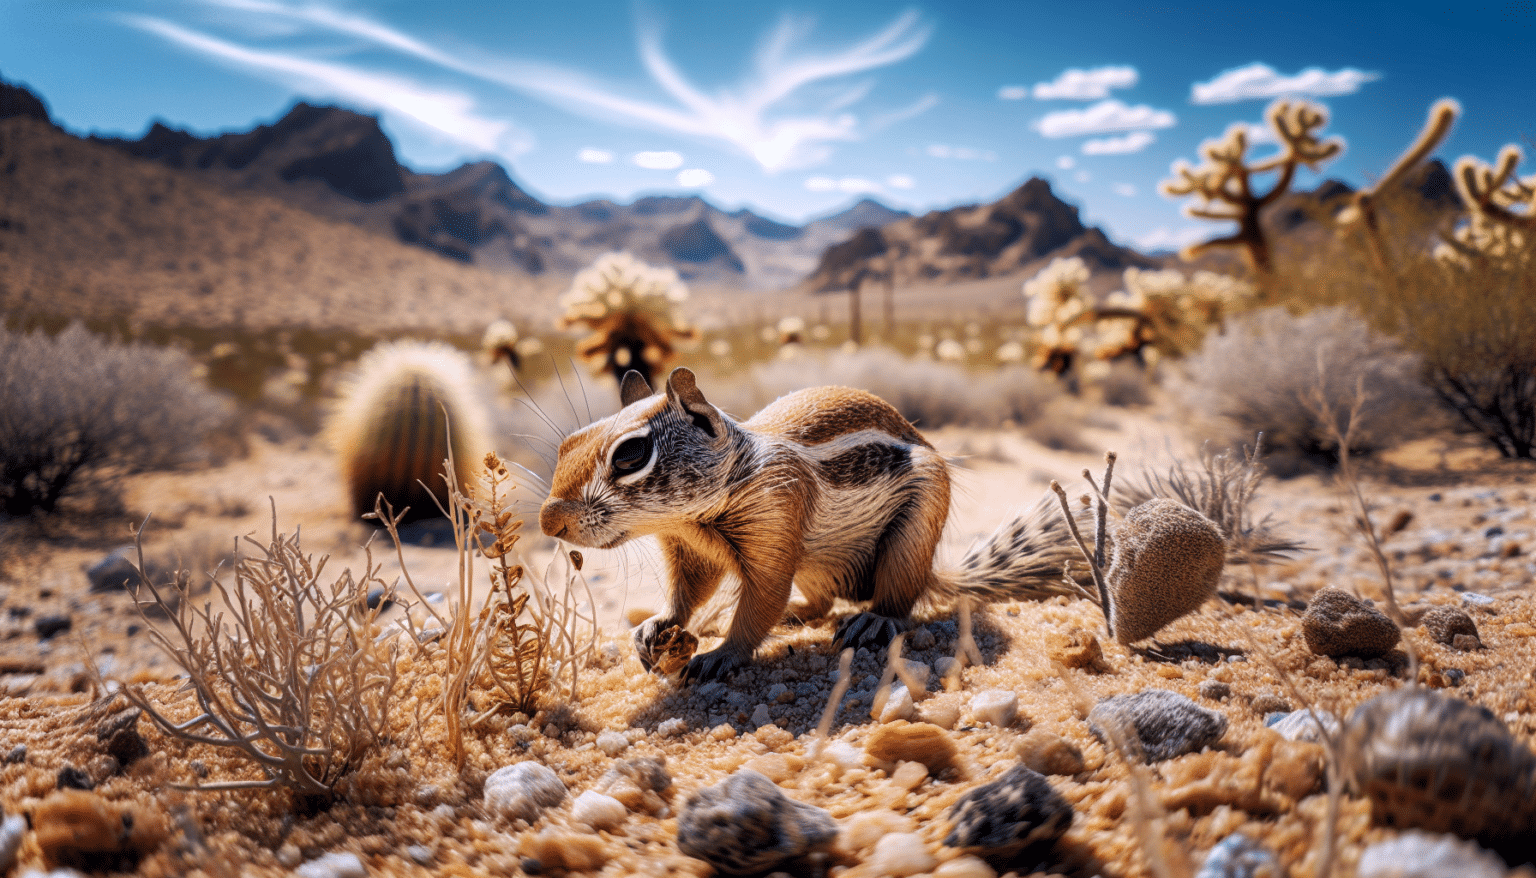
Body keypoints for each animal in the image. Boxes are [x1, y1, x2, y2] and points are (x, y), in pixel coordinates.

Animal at [539, 367, 1081, 683]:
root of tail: (932, 571)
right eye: (567, 444)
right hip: (817, 567)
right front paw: (657, 625)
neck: (697, 518)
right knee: (820, 602)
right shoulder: (687, 549)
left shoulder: (775, 524)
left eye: (631, 454)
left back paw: (871, 620)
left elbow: (762, 601)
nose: (549, 521)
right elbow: (688, 593)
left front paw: (721, 654)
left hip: (911, 540)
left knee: (899, 600)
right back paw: (795, 614)